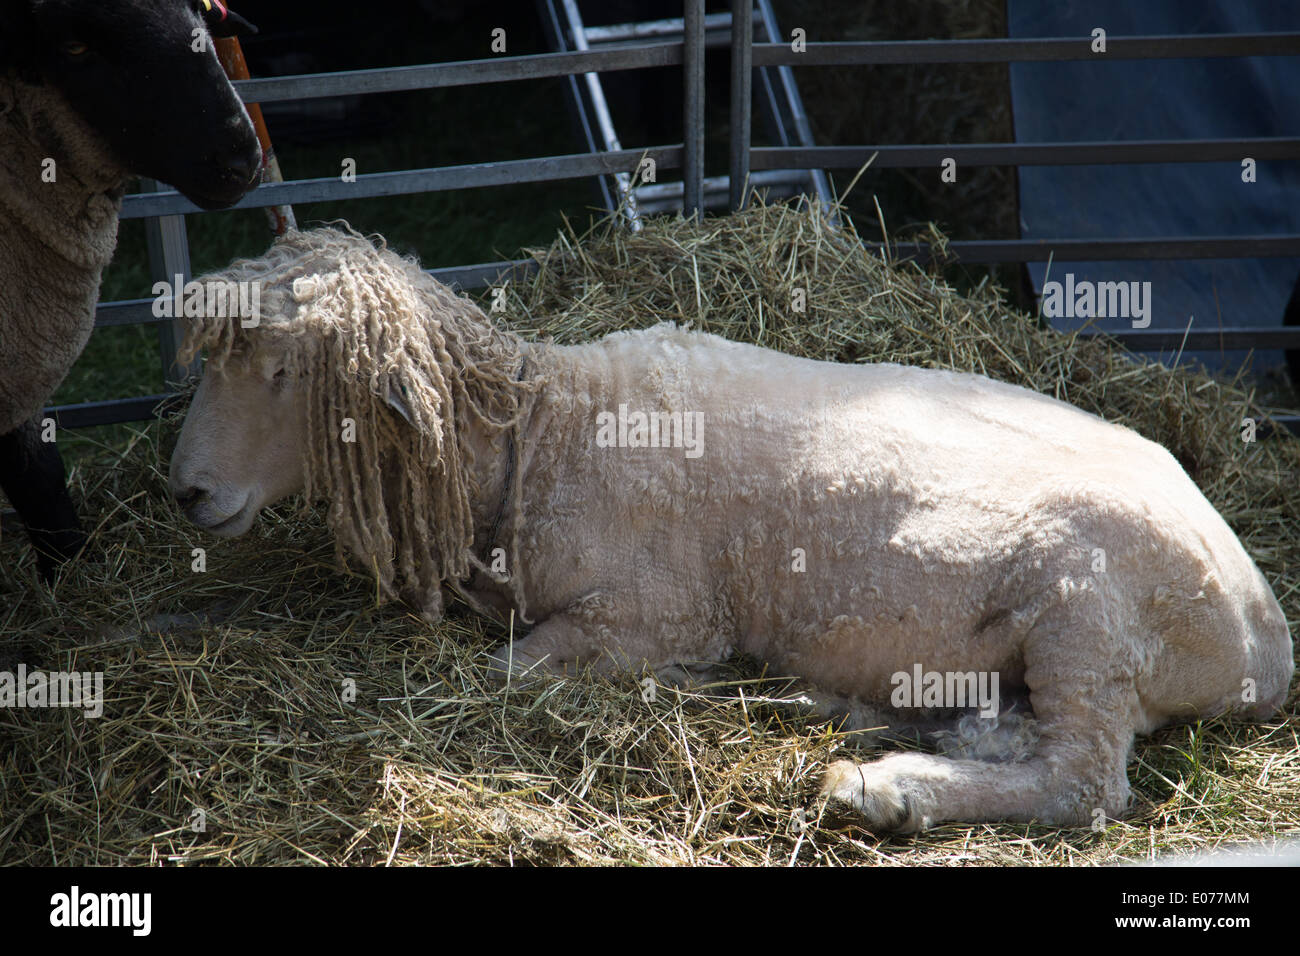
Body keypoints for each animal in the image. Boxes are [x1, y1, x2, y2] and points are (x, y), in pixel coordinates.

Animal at [168, 227, 1294, 832]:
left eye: (285, 370)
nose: (184, 493)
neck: (543, 429)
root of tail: (1262, 634)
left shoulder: (652, 615)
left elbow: (508, 670)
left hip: (1087, 614)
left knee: (1084, 781)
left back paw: (883, 786)